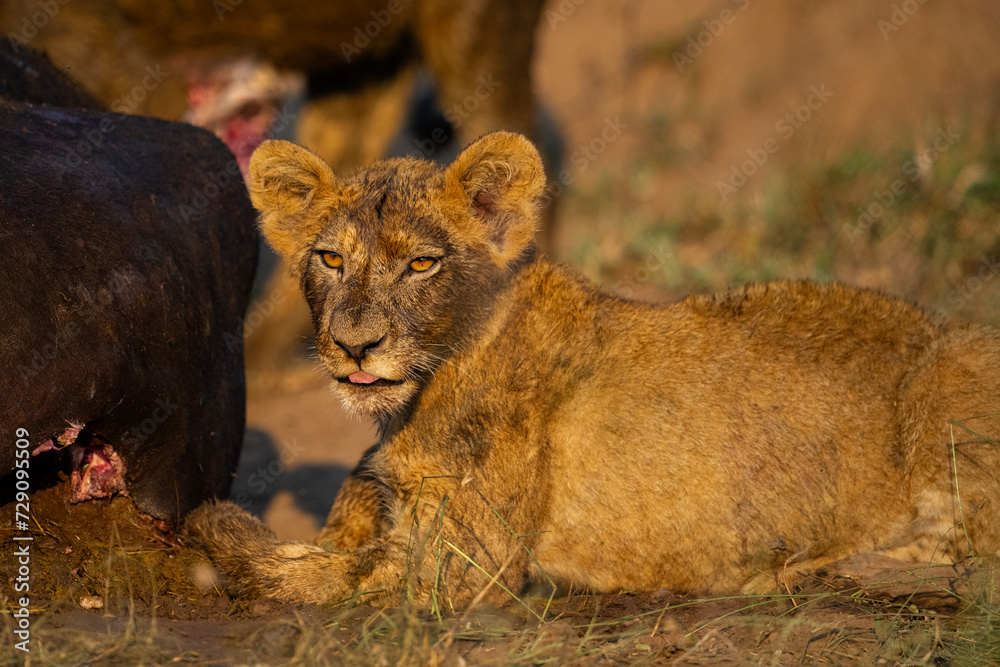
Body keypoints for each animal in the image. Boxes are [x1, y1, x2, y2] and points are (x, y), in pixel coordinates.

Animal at [186, 132, 1000, 608]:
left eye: (421, 263)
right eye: (330, 258)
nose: (355, 345)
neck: (419, 394)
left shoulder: (470, 562)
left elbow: (322, 573)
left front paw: (214, 526)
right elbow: (340, 528)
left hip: (950, 368)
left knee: (967, 549)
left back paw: (811, 570)